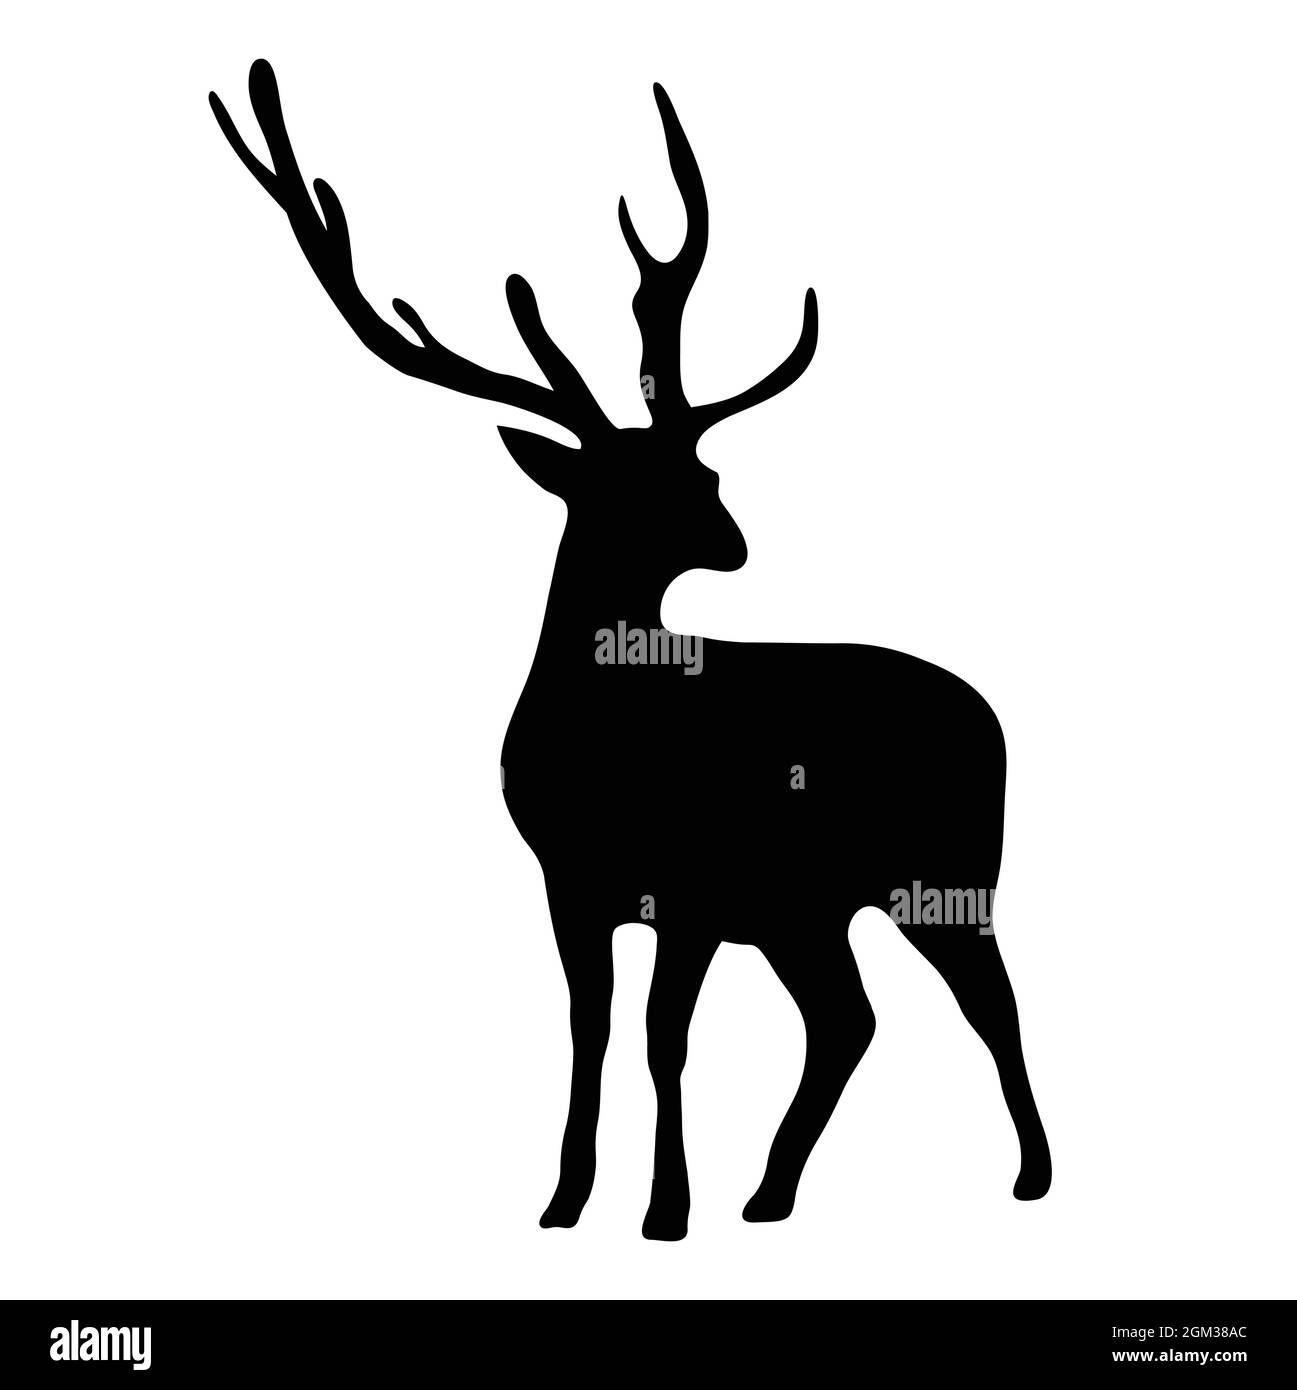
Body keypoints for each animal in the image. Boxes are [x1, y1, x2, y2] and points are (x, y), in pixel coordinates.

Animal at [210, 60, 1052, 1240]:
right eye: (641, 486)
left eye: (705, 473)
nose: (734, 540)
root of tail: (988, 712)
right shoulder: (570, 883)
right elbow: (593, 1031)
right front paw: (564, 1199)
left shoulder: (690, 881)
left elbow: (664, 1037)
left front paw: (663, 1210)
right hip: (802, 909)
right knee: (847, 1018)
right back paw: (769, 1192)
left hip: (947, 869)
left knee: (990, 999)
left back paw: (1029, 1175)